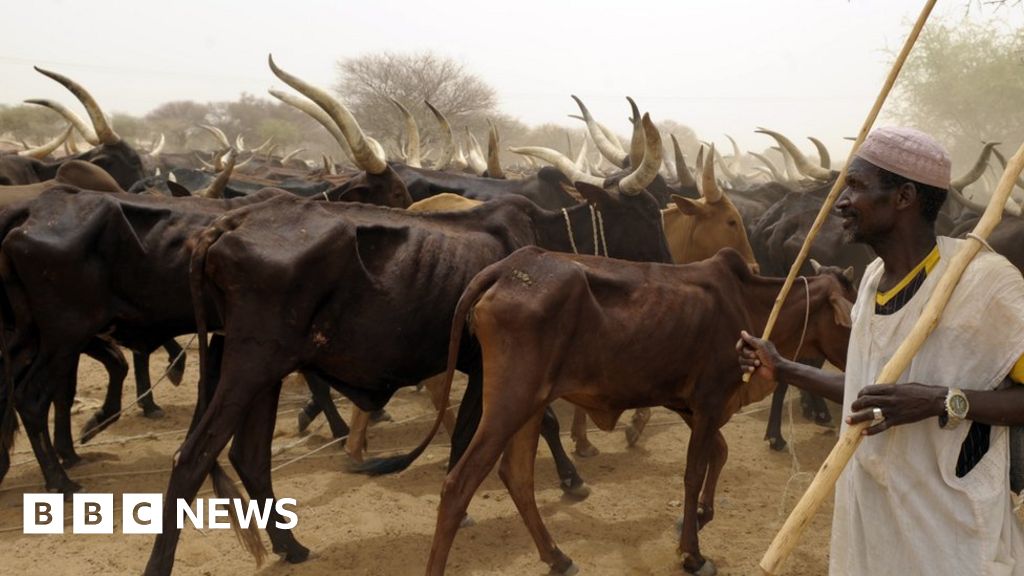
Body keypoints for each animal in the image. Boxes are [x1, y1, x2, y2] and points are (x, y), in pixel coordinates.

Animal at [374, 246, 854, 575]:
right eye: (849, 320)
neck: (751, 305)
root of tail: (508, 267)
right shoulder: (709, 401)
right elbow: (695, 470)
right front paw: (692, 552)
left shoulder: (688, 404)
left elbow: (718, 454)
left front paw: (699, 516)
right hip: (509, 403)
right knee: (459, 485)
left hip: (530, 405)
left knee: (518, 477)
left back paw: (557, 556)